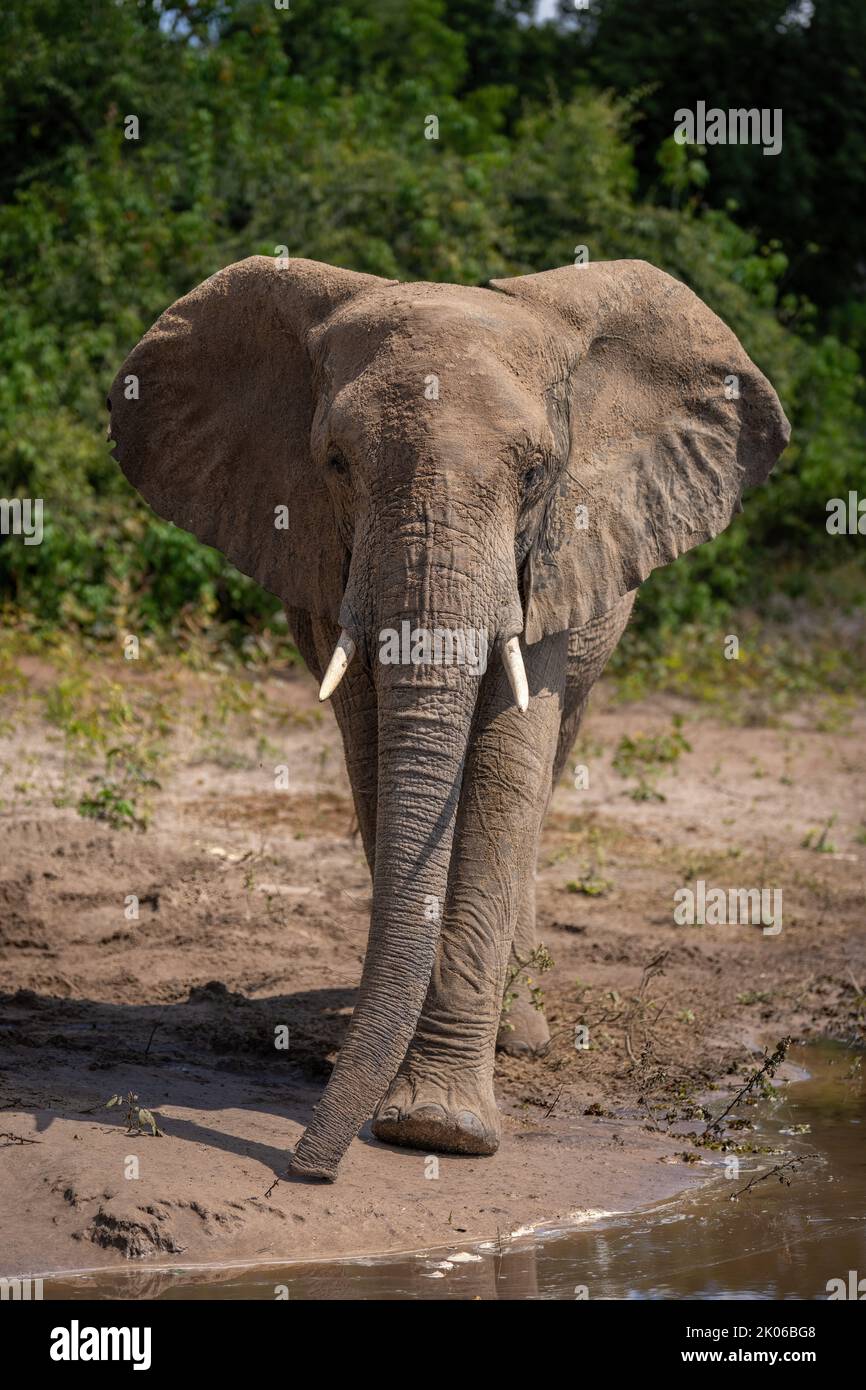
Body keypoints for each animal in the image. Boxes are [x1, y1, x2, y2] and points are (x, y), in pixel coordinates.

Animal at [108, 255, 789, 1181]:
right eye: (335, 463)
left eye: (536, 476)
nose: (306, 1169)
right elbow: (373, 750)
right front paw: (411, 1102)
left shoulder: (556, 554)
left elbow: (508, 757)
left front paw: (438, 1129)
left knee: (548, 767)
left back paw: (521, 1033)